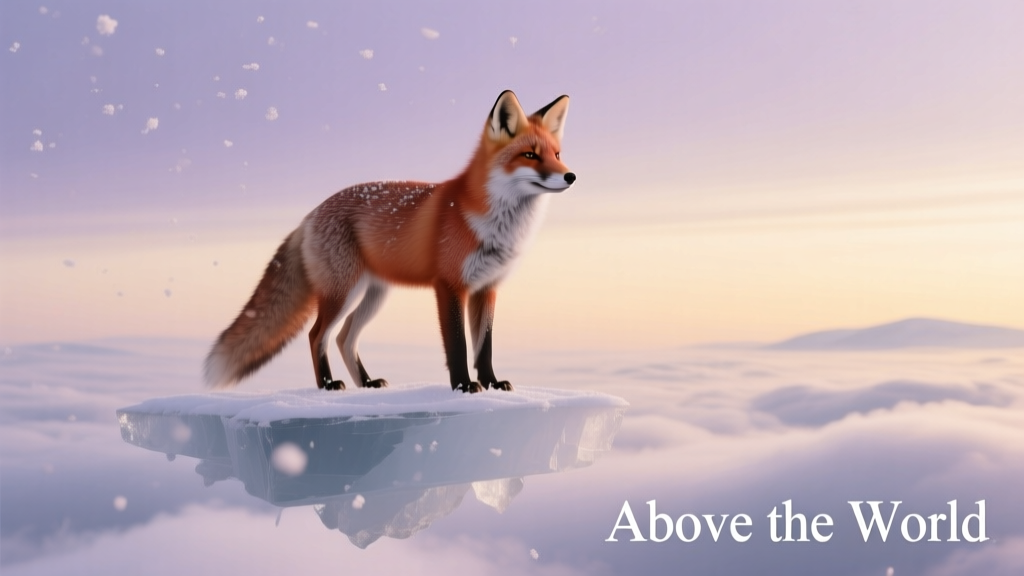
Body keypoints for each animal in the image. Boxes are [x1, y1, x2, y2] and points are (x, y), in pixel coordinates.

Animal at [205, 90, 575, 393]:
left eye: (557, 154)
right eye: (530, 155)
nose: (570, 176)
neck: (494, 225)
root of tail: (309, 215)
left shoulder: (487, 288)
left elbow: (485, 347)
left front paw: (492, 383)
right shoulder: (450, 285)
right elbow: (458, 345)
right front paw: (463, 386)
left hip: (374, 295)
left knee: (344, 337)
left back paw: (367, 383)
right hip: (342, 292)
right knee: (317, 335)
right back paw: (327, 385)